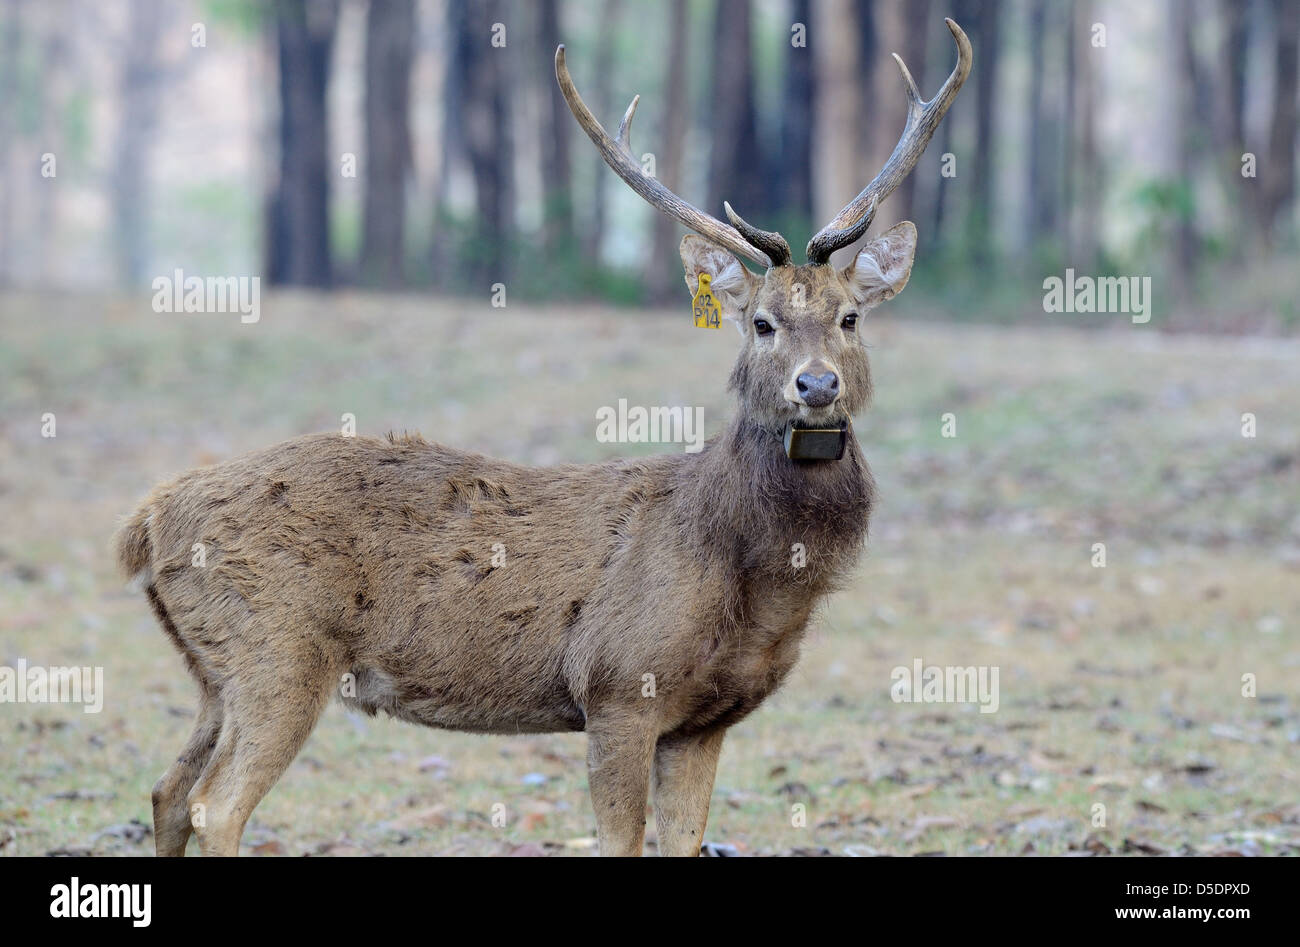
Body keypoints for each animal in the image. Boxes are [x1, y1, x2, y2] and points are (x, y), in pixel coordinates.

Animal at [115, 19, 970, 857]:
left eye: (850, 317)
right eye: (762, 323)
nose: (816, 386)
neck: (752, 580)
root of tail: (149, 520)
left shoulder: (702, 720)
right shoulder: (619, 685)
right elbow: (620, 841)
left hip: (213, 669)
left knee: (167, 788)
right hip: (278, 647)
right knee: (216, 803)